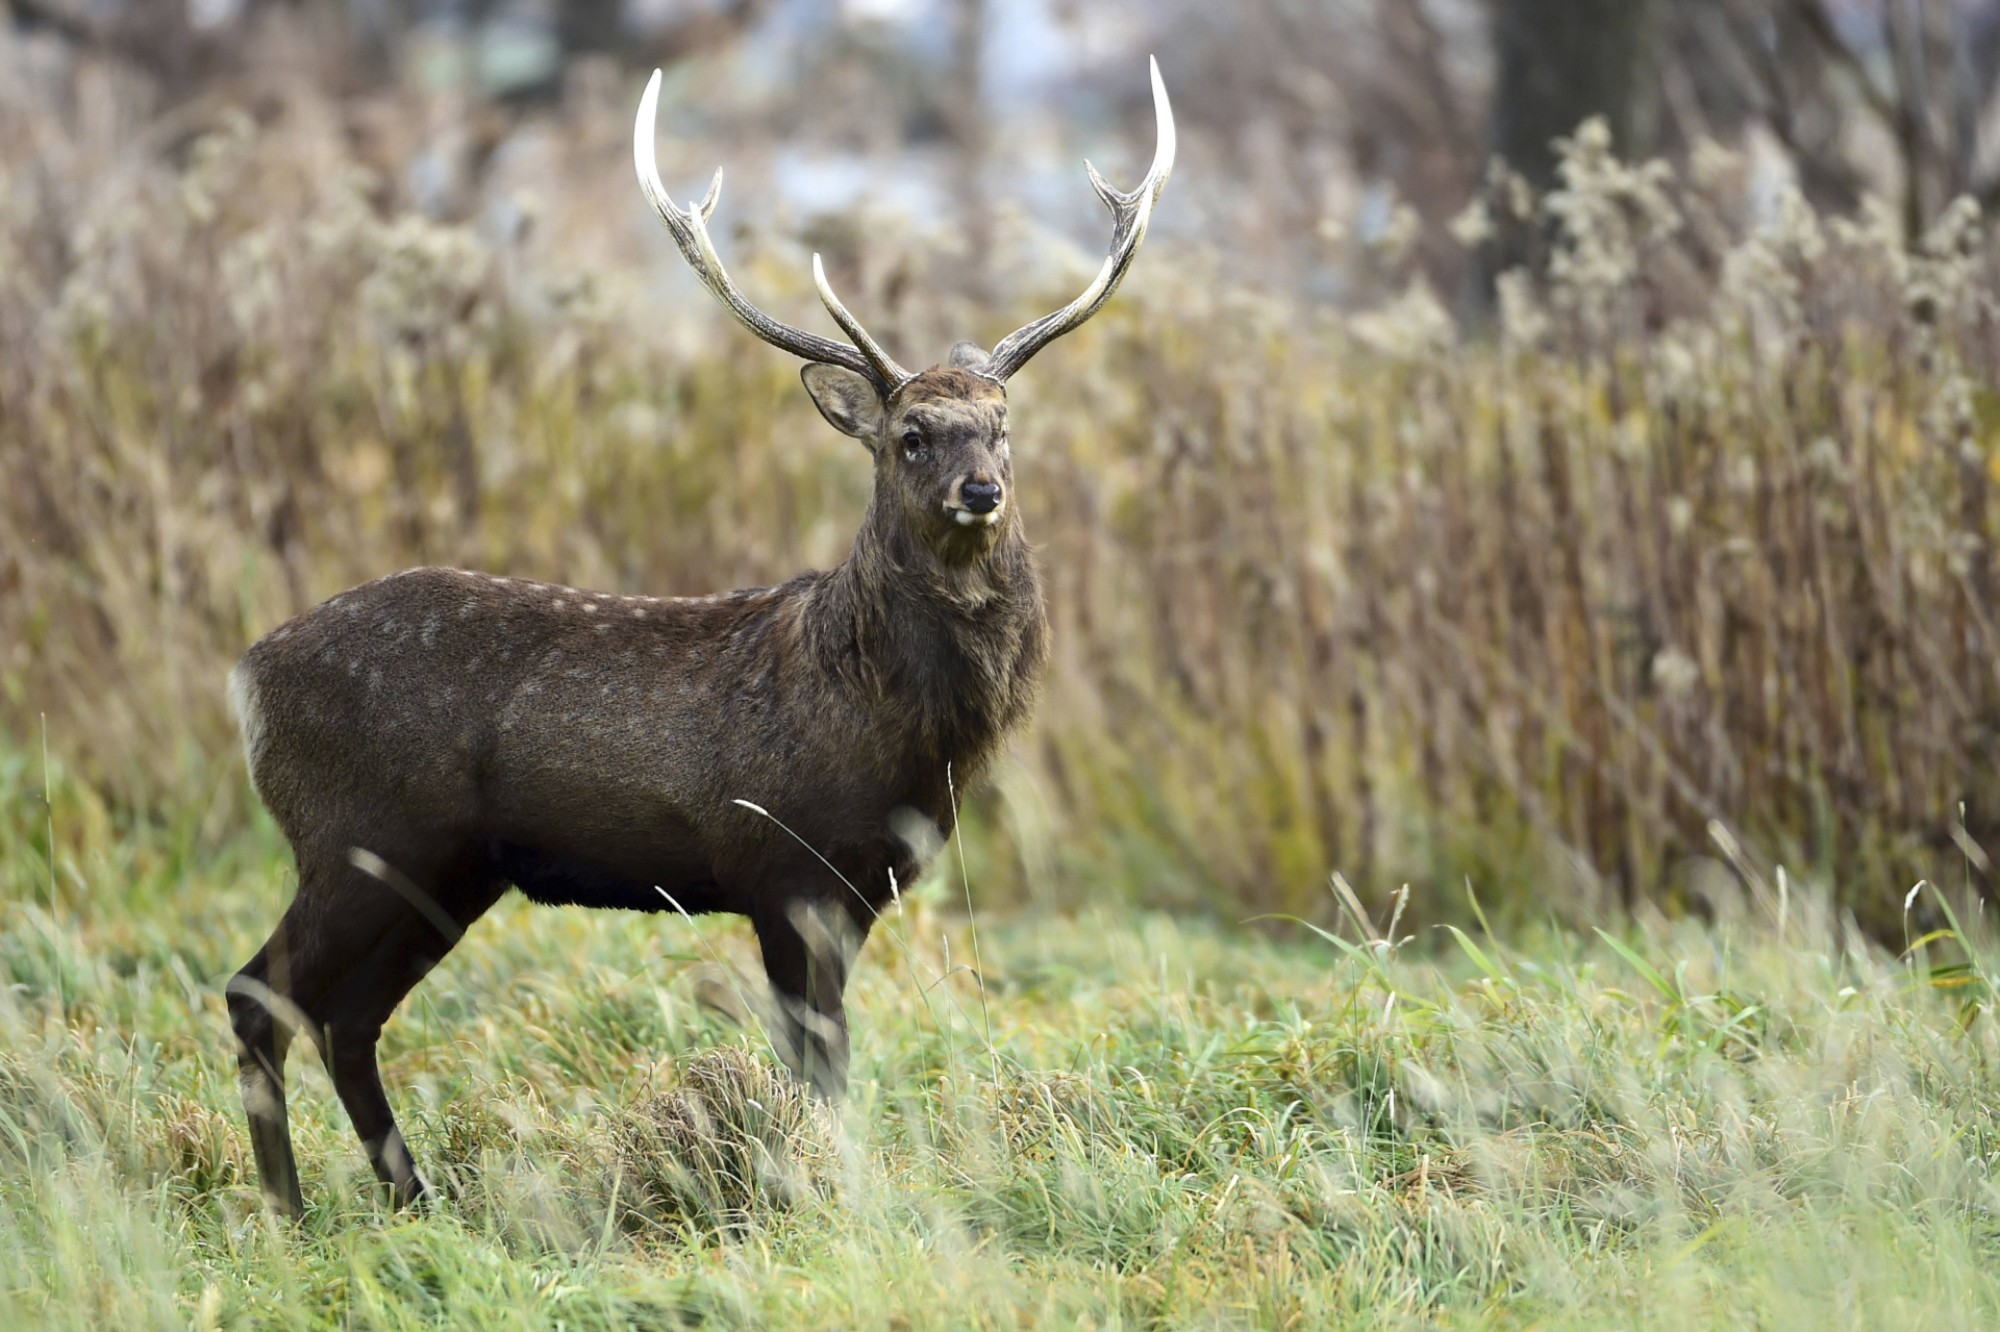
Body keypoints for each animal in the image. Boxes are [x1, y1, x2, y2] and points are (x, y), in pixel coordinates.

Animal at [223, 59, 1174, 1218]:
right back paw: (290, 1210)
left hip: (441, 870)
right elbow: (820, 1064)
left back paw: (413, 1199)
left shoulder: (854, 890)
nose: (980, 492)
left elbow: (820, 1063)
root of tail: (248, 675)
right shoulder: (783, 867)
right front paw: (829, 1194)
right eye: (912, 435)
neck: (886, 727)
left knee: (345, 1014)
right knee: (259, 991)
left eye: (1002, 429)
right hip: (357, 833)